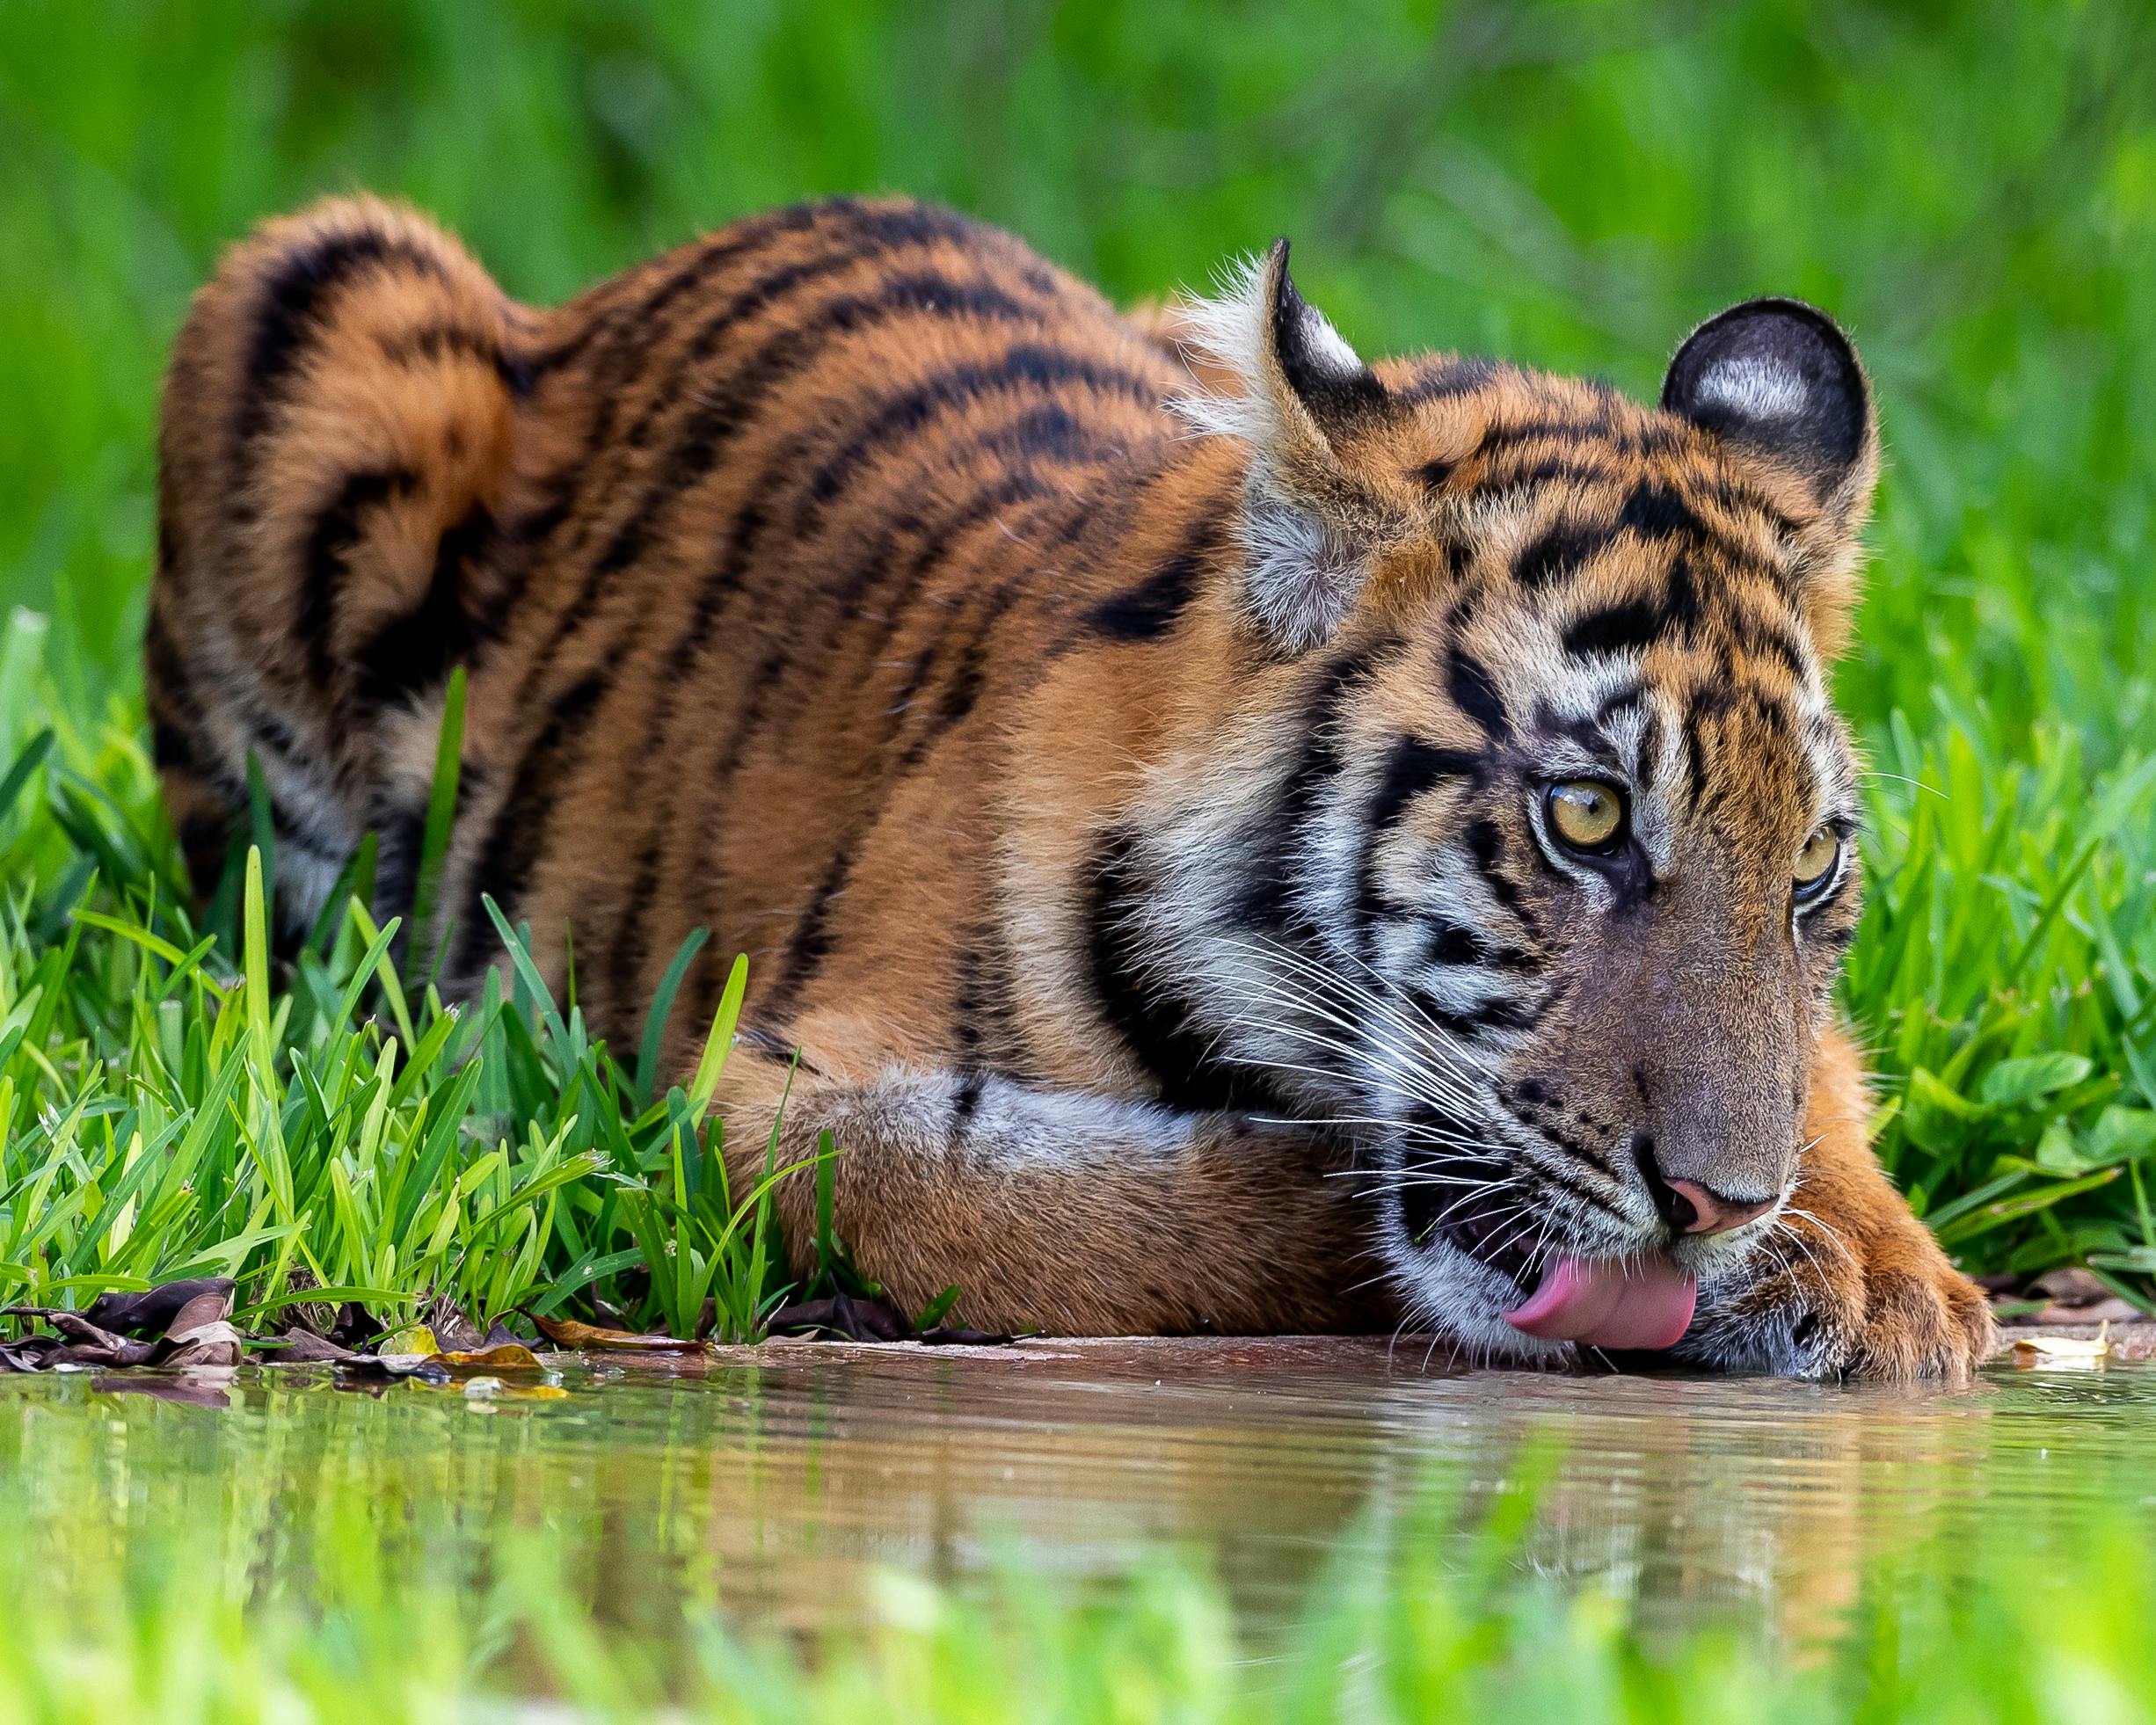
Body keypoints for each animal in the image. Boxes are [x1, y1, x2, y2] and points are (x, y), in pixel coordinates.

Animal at [149, 192, 1995, 1380]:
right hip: (323, 288)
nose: (1716, 1206)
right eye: (1586, 816)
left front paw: (1880, 1274)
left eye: (1812, 866)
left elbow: (1824, 1071)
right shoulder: (788, 1098)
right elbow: (1123, 1213)